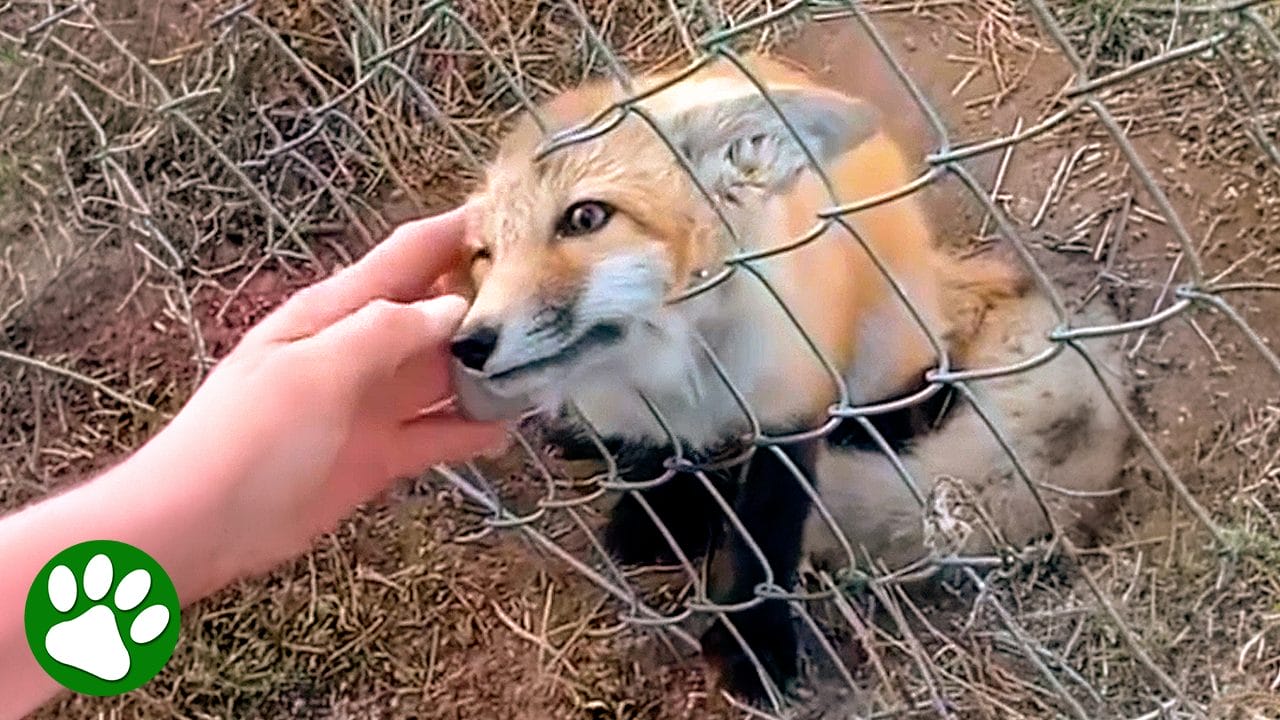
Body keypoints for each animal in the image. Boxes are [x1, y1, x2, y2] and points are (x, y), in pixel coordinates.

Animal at [442, 53, 1132, 706]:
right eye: (484, 255)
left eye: (586, 217)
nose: (468, 345)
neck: (682, 374)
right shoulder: (640, 411)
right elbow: (657, 456)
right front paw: (658, 509)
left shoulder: (792, 405)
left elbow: (768, 529)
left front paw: (754, 642)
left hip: (887, 342)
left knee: (912, 398)